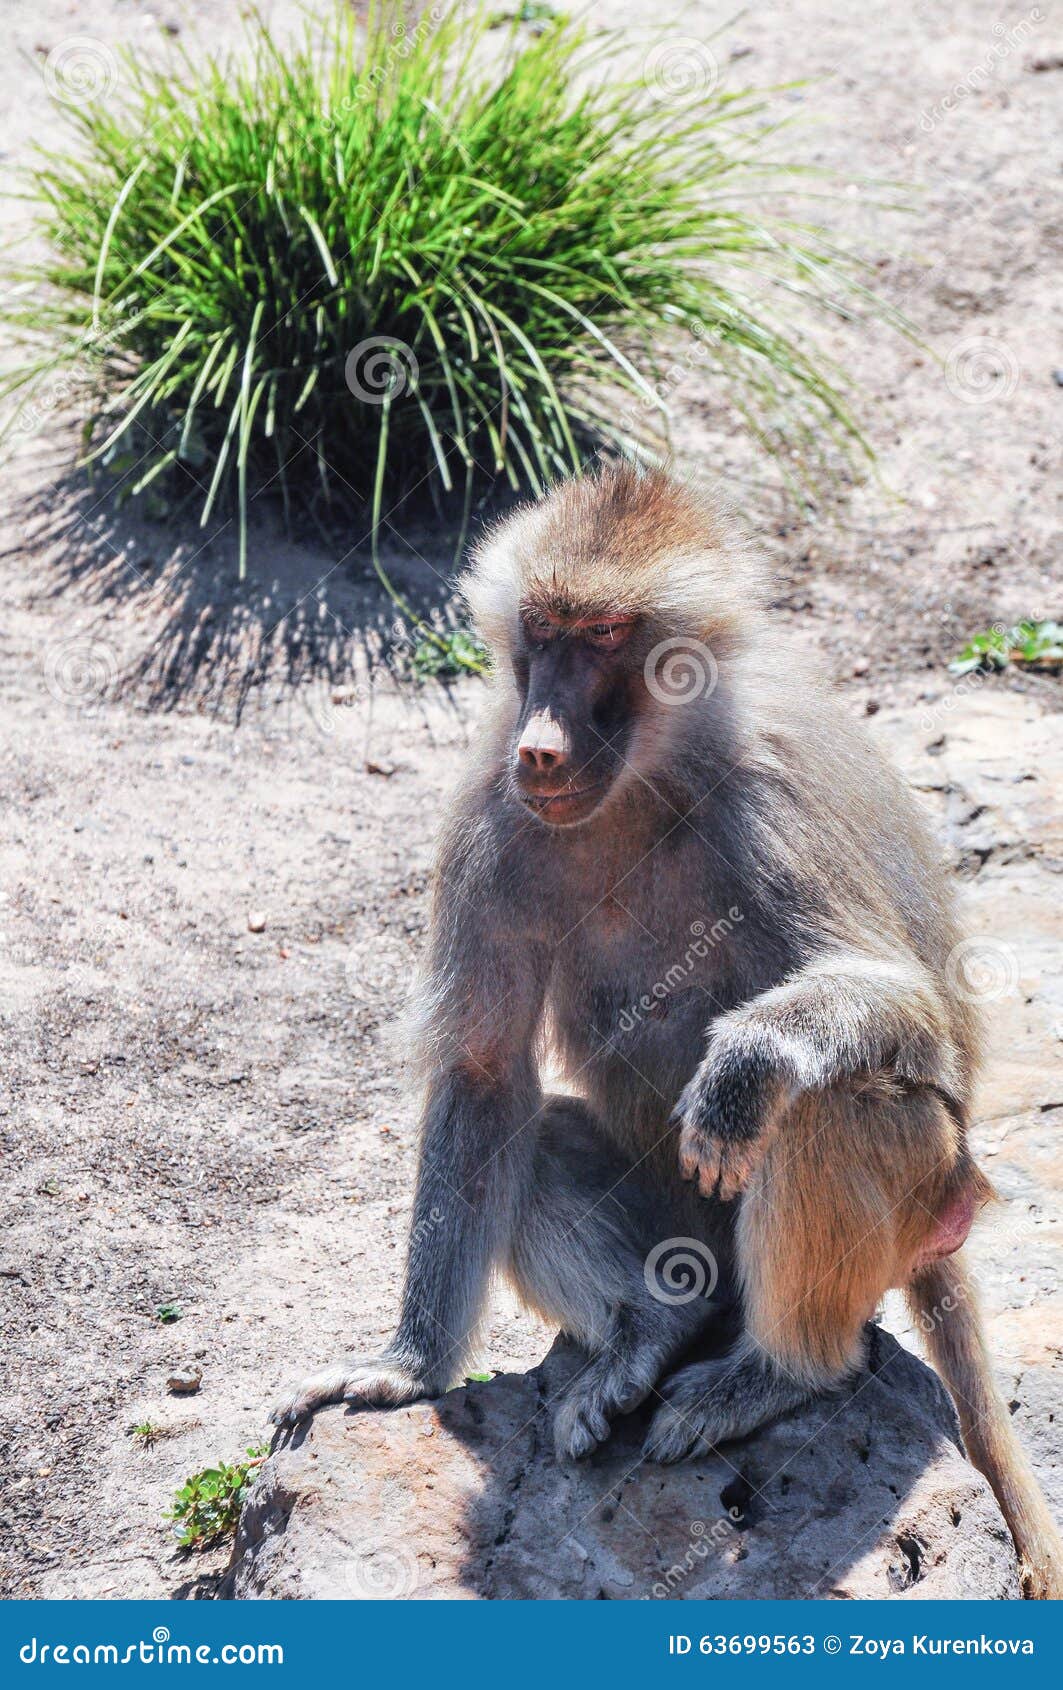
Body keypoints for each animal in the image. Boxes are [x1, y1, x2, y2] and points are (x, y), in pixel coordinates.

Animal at [273, 462, 1063, 1600]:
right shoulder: (490, 813)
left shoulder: (774, 804)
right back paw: (648, 1335)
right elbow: (482, 1074)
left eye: (605, 635)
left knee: (827, 1108)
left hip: (925, 1193)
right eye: (543, 630)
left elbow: (911, 1007)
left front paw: (746, 1062)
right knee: (535, 1135)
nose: (540, 744)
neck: (646, 777)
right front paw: (402, 1370)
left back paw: (777, 1371)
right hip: (683, 1224)